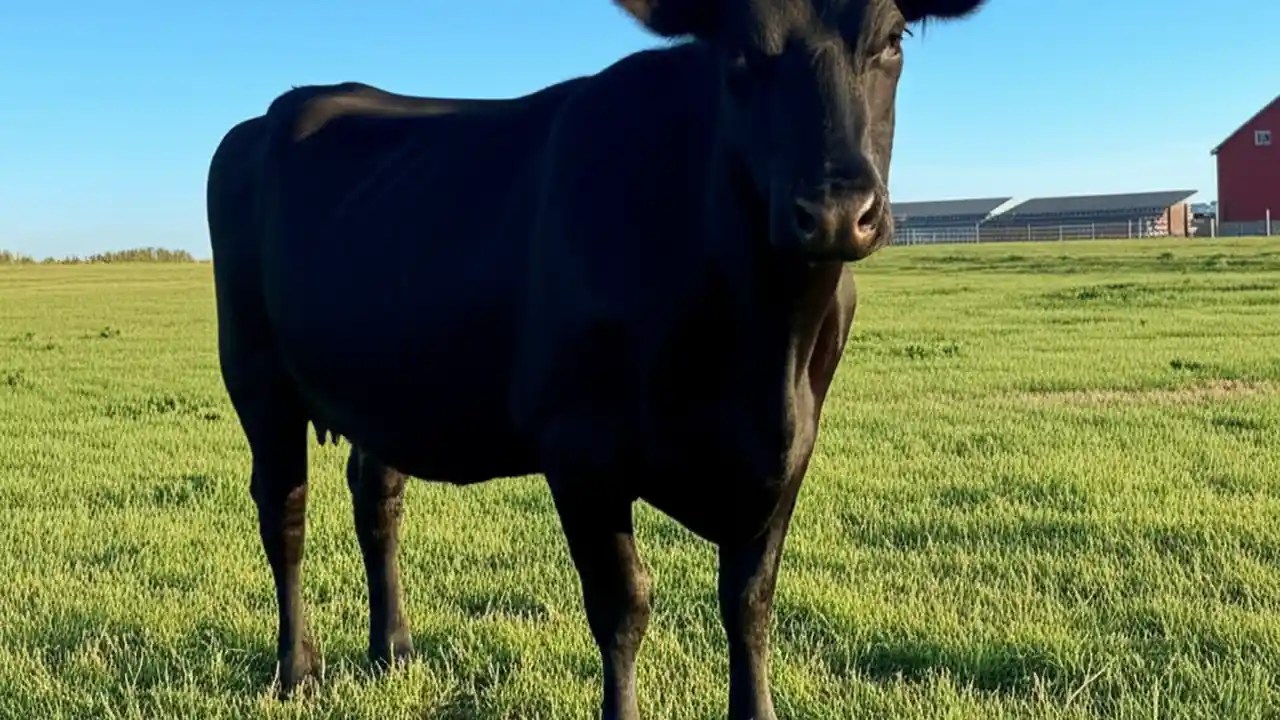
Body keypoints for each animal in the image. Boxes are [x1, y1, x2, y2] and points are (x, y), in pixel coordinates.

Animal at [205, 0, 988, 717]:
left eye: (892, 39)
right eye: (737, 50)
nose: (833, 212)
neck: (761, 343)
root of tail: (272, 116)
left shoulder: (791, 449)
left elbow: (750, 601)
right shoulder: (579, 450)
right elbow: (623, 605)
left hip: (386, 389)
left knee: (377, 502)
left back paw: (393, 649)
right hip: (256, 377)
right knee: (284, 512)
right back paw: (295, 670)